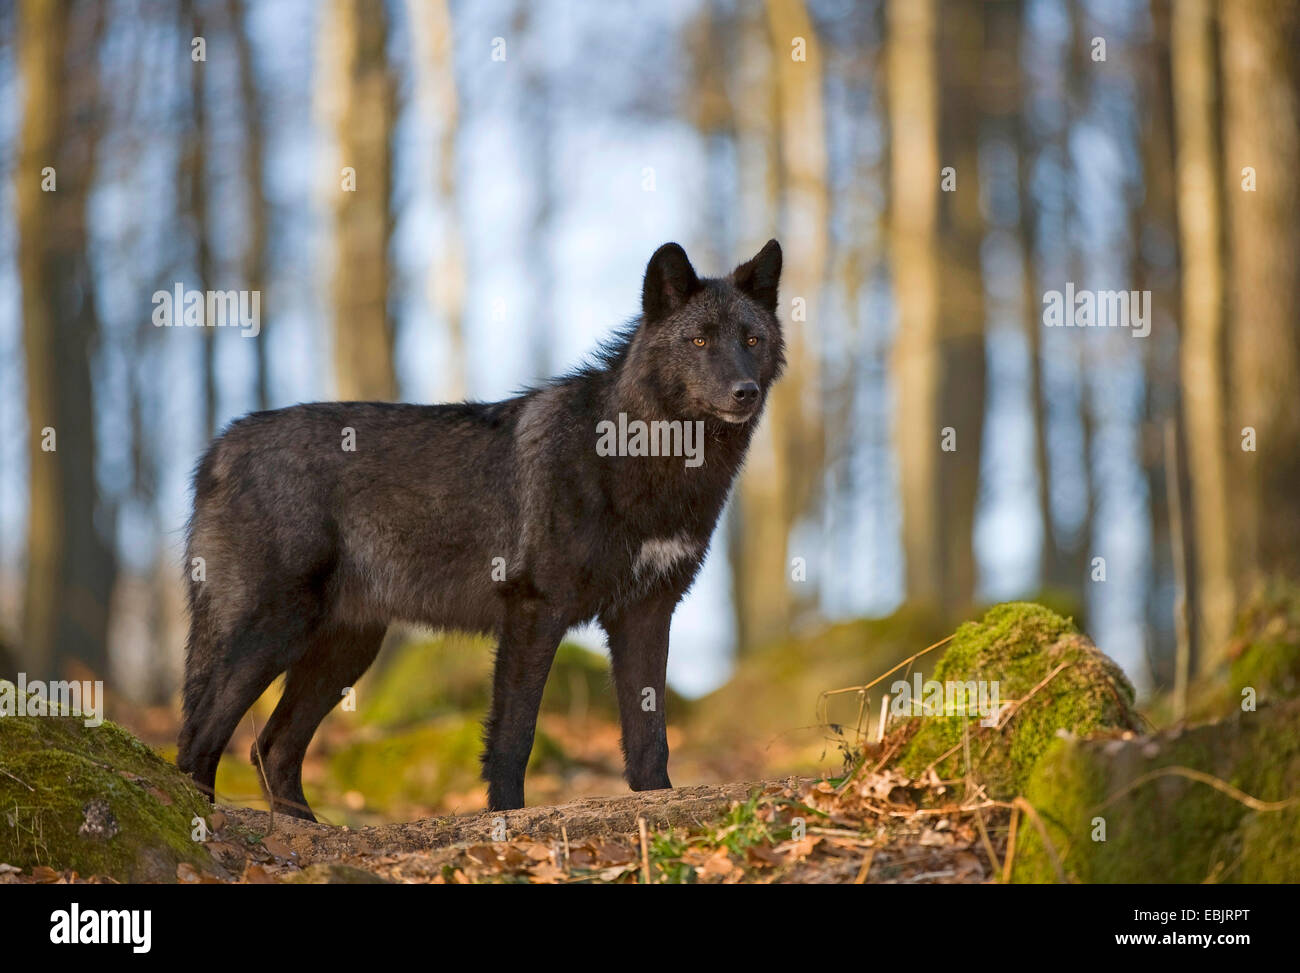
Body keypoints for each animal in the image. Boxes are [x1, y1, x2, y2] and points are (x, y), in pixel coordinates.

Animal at [176, 239, 784, 818]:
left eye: (752, 341)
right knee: (199, 738)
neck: (647, 457)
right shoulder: (534, 611)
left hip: (345, 652)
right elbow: (515, 735)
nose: (744, 392)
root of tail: (221, 444)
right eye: (700, 342)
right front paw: (507, 818)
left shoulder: (647, 612)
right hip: (272, 632)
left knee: (271, 747)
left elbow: (649, 735)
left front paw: (658, 803)